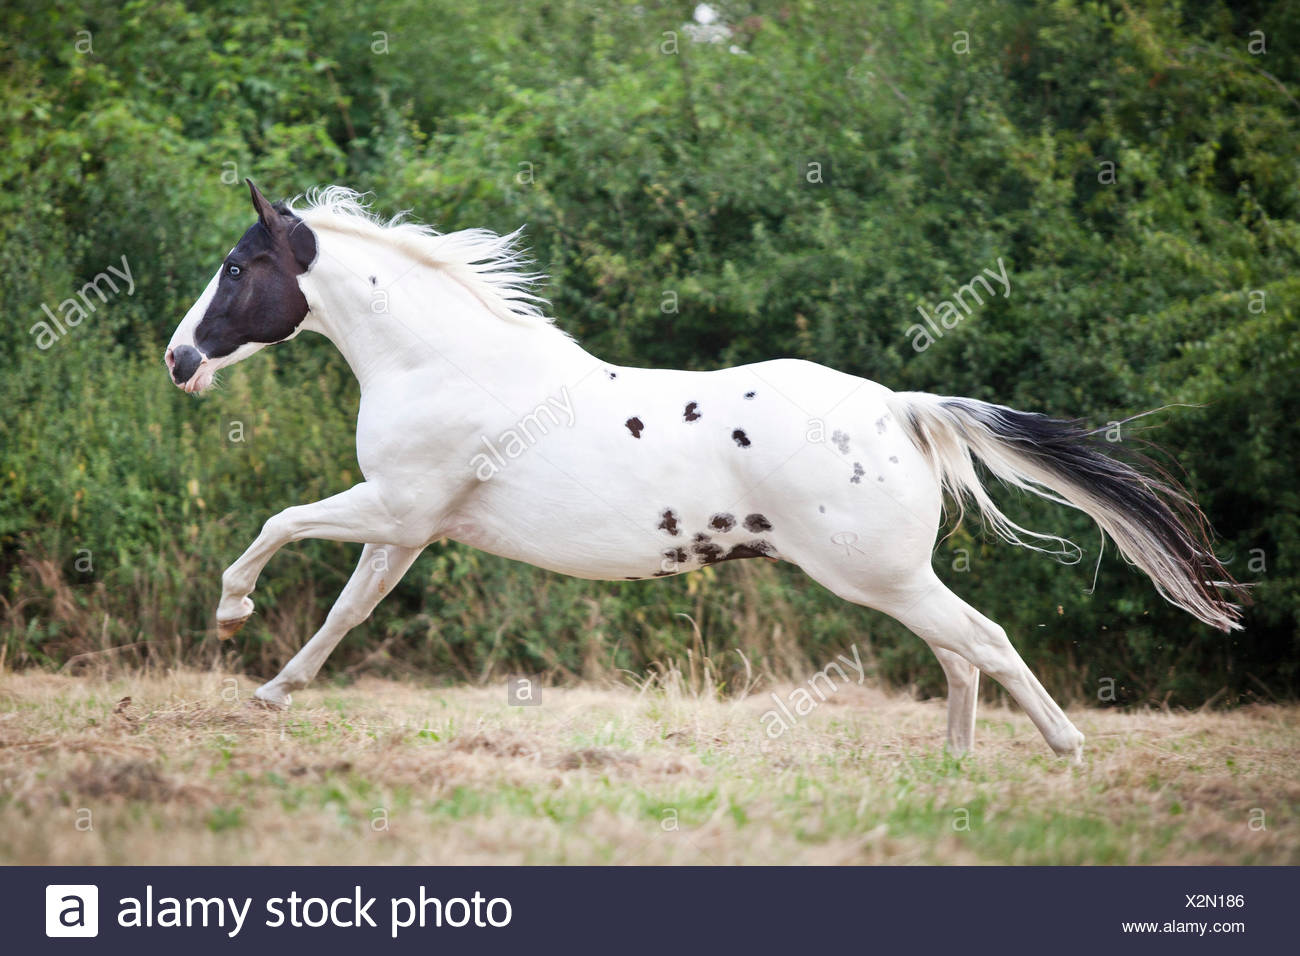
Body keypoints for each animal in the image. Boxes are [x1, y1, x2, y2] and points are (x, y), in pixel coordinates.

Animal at [165, 180, 1246, 760]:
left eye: (236, 266)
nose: (179, 360)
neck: (444, 363)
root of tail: (899, 407)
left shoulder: (392, 505)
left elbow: (277, 524)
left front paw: (231, 616)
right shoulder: (407, 527)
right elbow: (345, 613)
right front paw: (273, 692)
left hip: (878, 574)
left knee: (983, 640)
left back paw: (1062, 748)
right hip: (894, 581)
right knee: (959, 654)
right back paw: (954, 765)